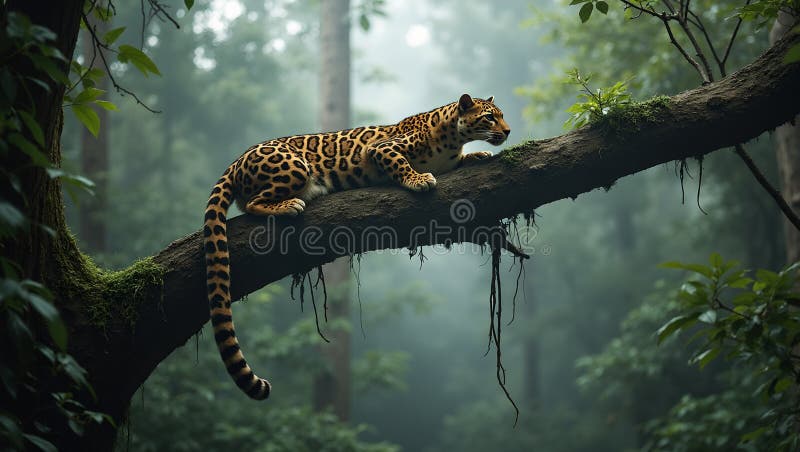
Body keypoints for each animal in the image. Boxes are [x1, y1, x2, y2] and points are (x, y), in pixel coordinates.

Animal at [203, 93, 511, 399]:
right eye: (489, 117)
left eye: (501, 116)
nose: (507, 131)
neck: (453, 137)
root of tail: (237, 160)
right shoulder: (382, 149)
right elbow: (401, 164)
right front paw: (419, 179)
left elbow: (463, 160)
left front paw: (479, 155)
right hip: (295, 167)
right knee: (253, 202)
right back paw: (289, 205)